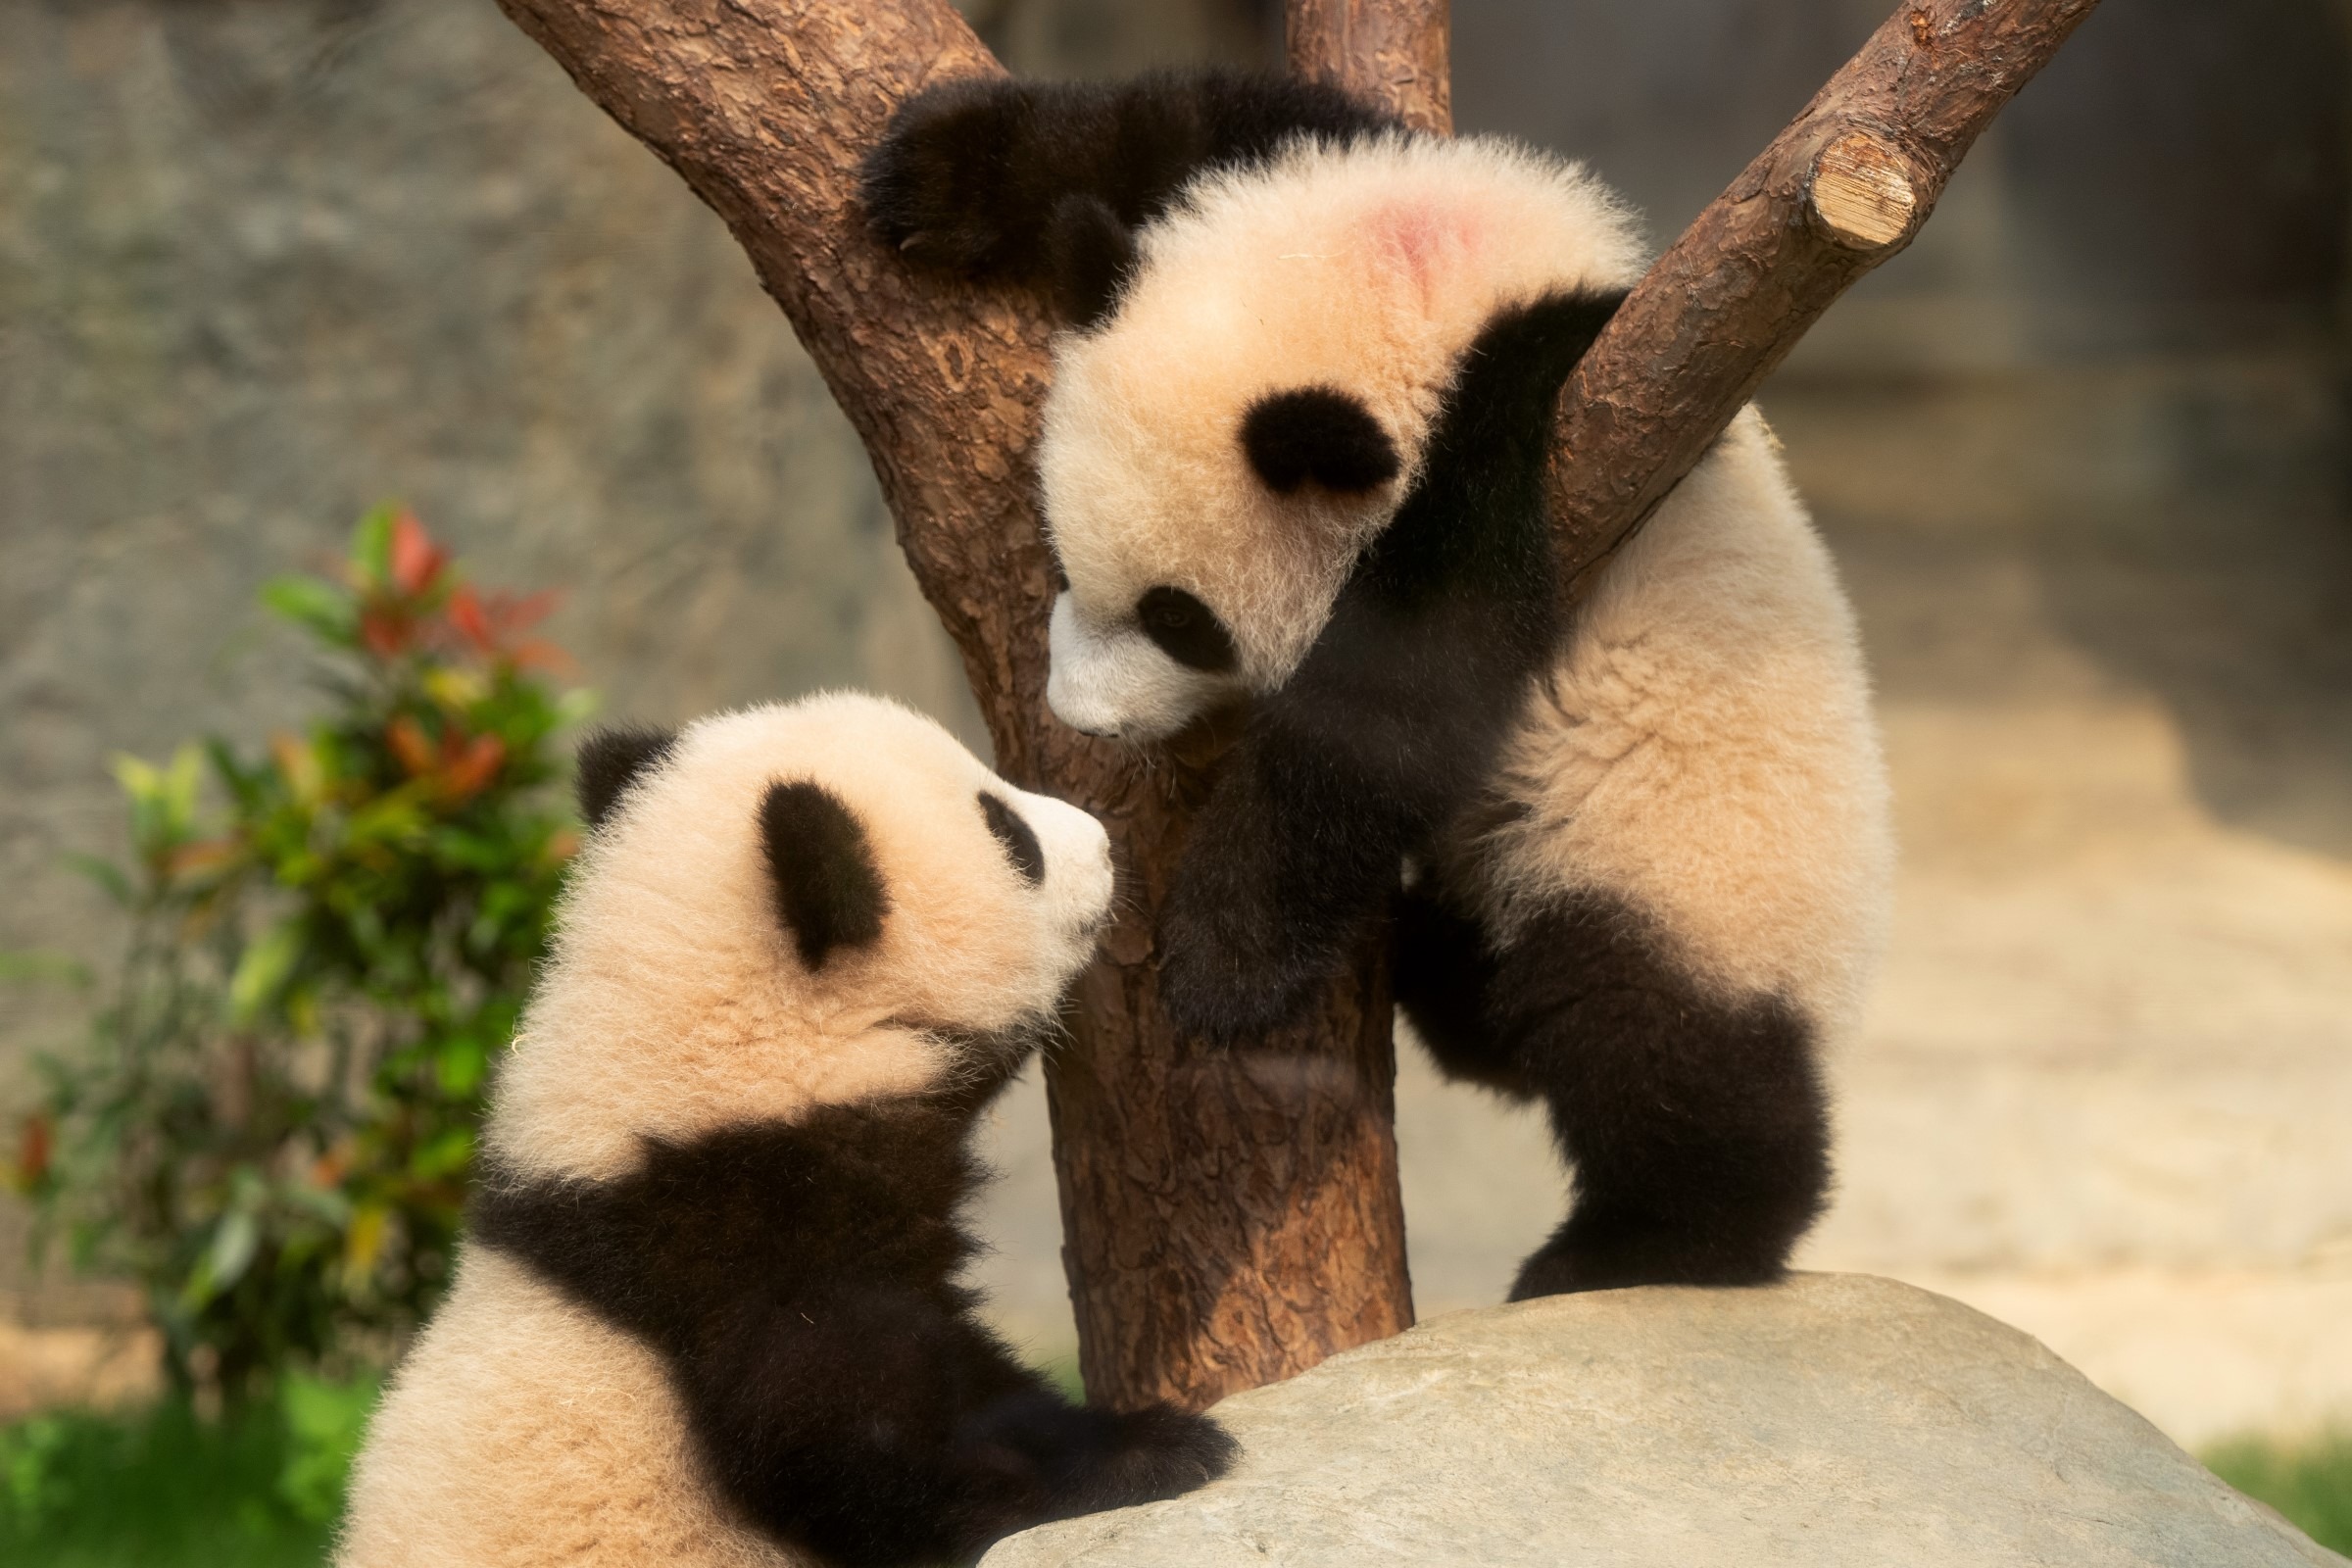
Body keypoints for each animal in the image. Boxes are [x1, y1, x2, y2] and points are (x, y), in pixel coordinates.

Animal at [864, 70, 1894, 1300]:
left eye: (1179, 619)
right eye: (1063, 559)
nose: (1082, 717)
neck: (1431, 284)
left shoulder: (1553, 417)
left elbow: (1400, 698)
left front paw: (1222, 956)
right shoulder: (1351, 157)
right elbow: (1180, 121)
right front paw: (940, 170)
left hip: (1690, 870)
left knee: (1655, 1043)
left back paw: (1644, 1241)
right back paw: (1436, 965)